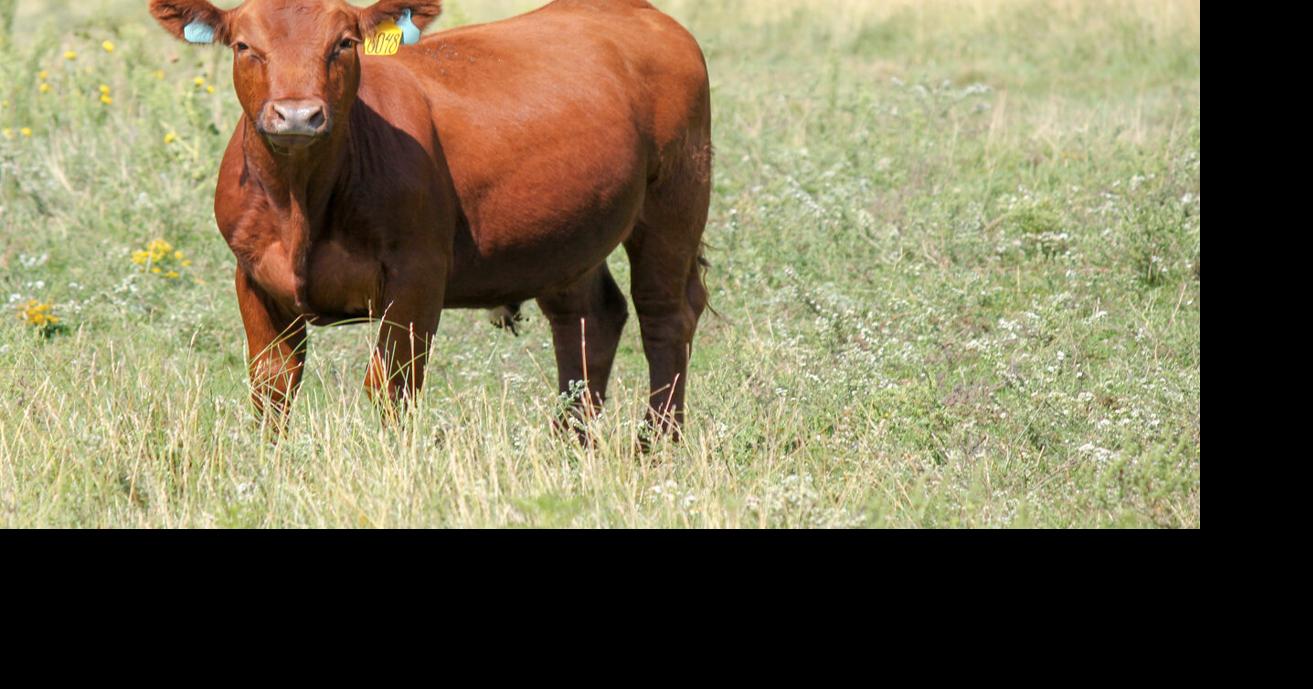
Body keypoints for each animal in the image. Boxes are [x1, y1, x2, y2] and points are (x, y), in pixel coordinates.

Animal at [147, 0, 713, 440]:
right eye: (245, 46)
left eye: (344, 43)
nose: (297, 115)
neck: (300, 204)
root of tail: (641, 14)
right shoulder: (252, 278)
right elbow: (272, 385)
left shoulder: (417, 277)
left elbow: (390, 385)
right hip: (569, 235)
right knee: (589, 319)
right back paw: (570, 446)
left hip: (676, 199)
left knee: (665, 315)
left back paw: (655, 446)